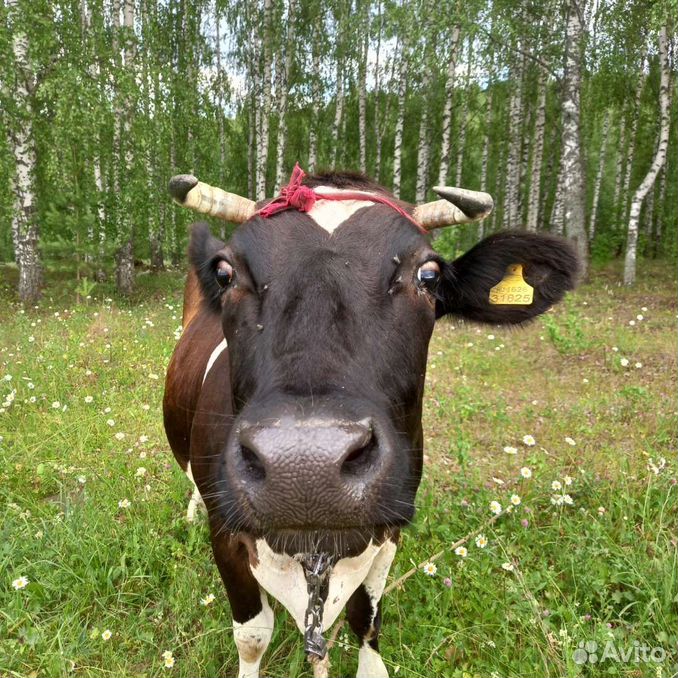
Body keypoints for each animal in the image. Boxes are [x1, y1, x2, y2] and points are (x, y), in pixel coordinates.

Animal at [163, 164, 579, 678]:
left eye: (428, 274)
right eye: (226, 272)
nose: (306, 467)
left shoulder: (388, 530)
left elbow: (366, 618)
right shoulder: (226, 532)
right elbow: (253, 634)